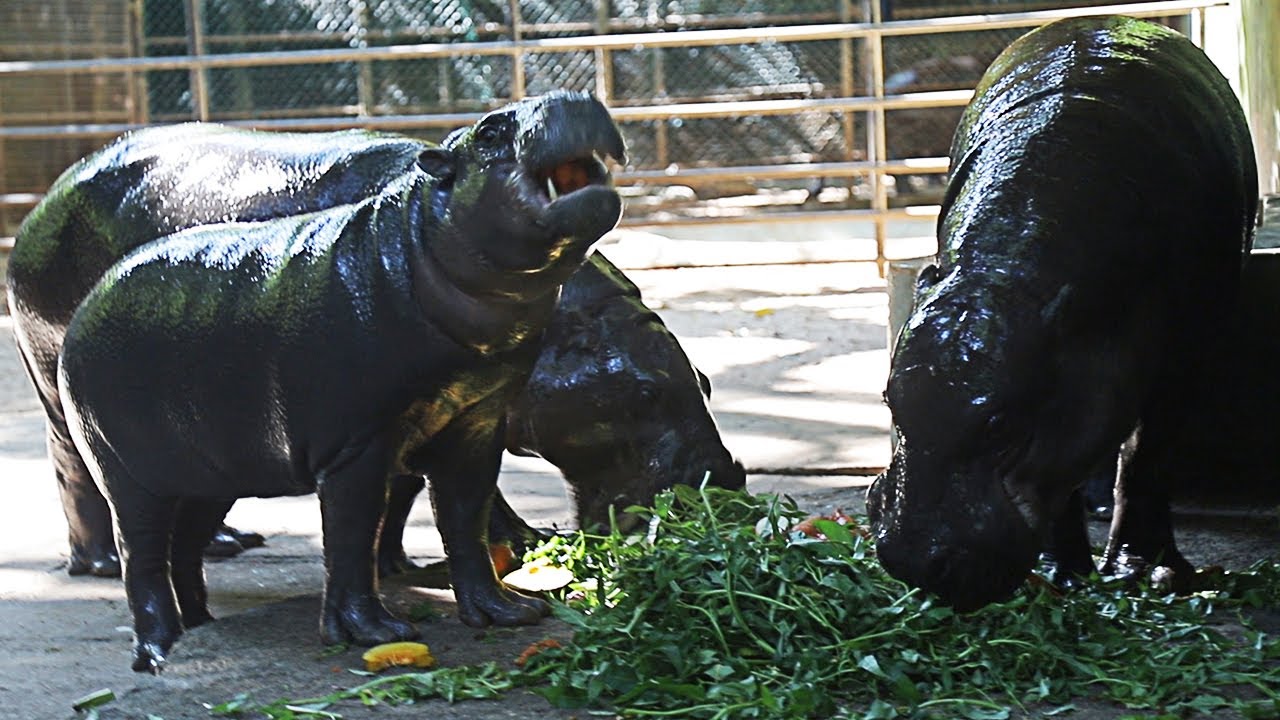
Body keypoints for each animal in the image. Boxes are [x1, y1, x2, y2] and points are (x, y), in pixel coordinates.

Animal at [22, 91, 627, 671]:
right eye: (491, 131)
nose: (577, 100)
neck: (417, 243)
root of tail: (91, 299)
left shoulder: (474, 427)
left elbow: (465, 521)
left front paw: (510, 612)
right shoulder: (358, 445)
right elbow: (353, 534)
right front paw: (376, 632)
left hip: (210, 471)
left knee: (184, 547)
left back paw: (200, 630)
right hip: (126, 470)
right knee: (142, 556)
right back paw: (157, 650)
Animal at [866, 16, 1258, 611]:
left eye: (1000, 423)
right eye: (889, 398)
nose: (912, 558)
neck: (1005, 272)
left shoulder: (1182, 357)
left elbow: (1146, 456)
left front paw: (1146, 572)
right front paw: (1062, 575)